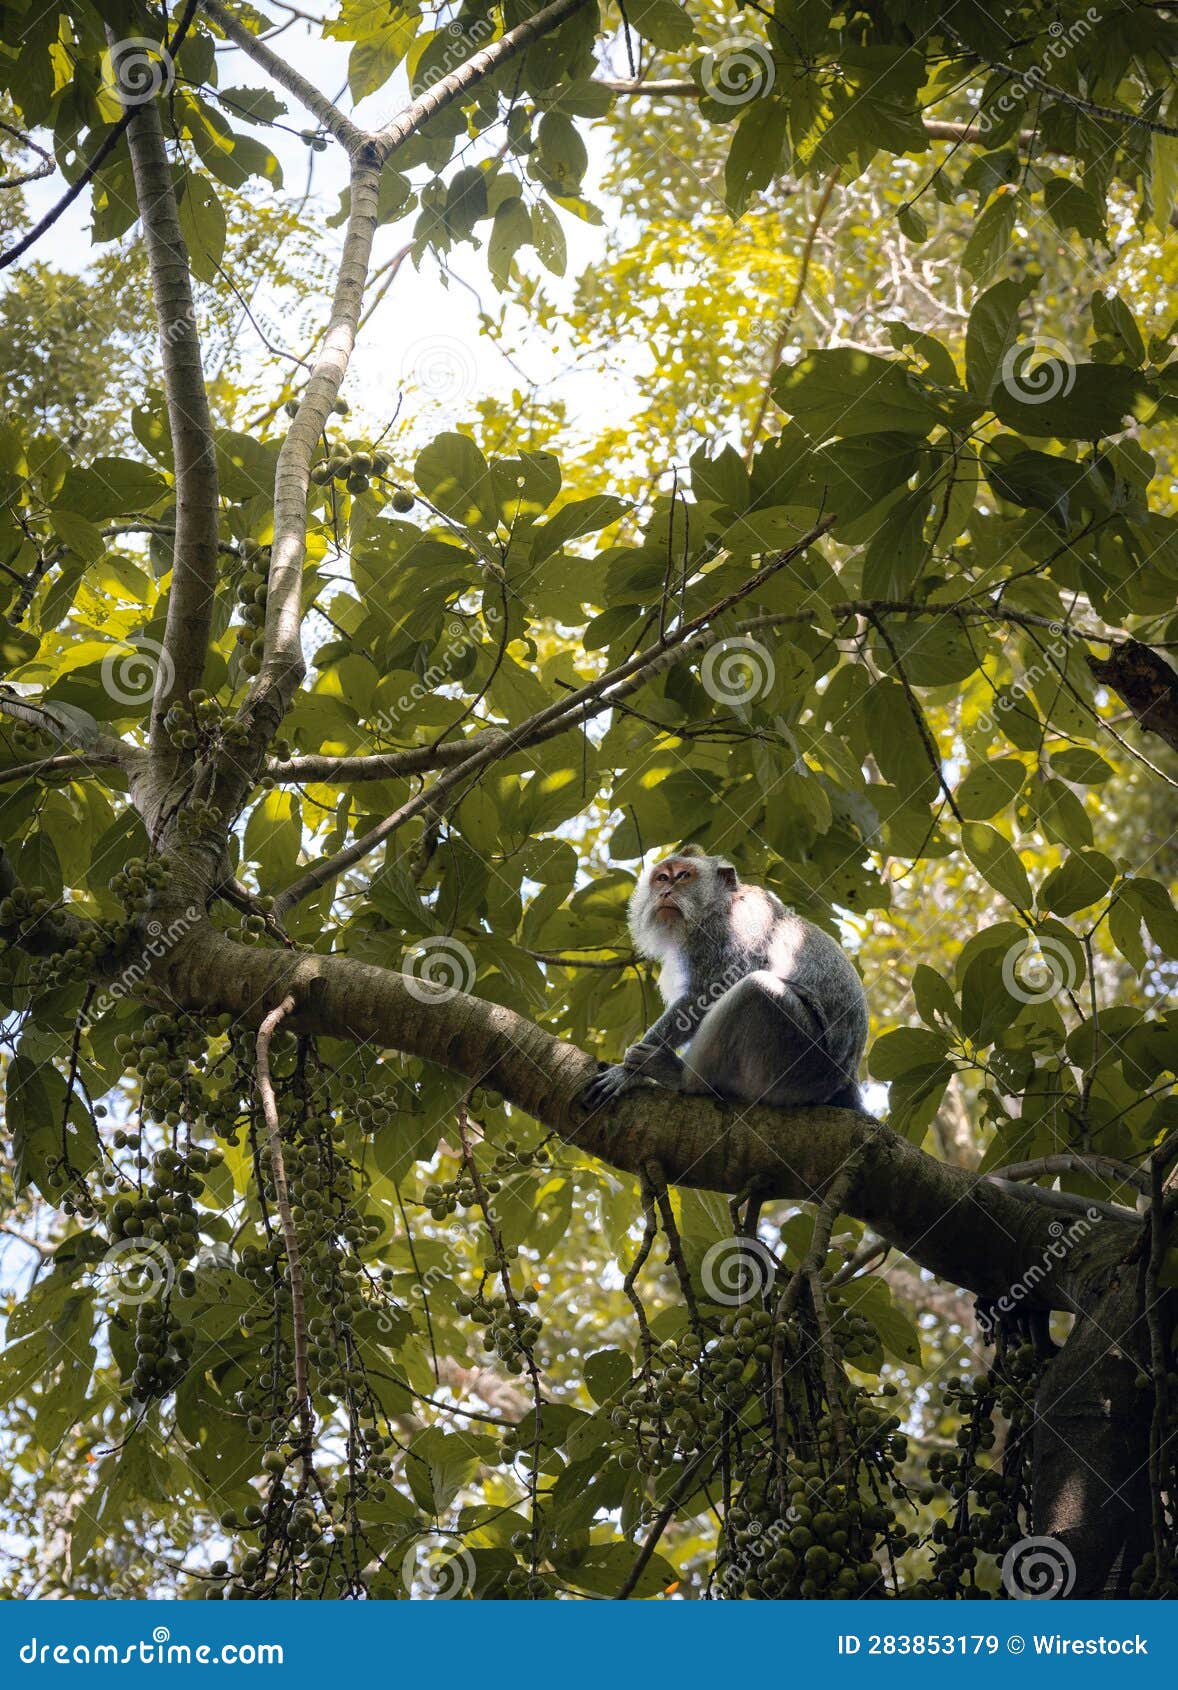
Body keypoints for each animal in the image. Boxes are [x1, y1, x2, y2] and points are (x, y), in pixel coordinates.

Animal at [582, 845, 868, 1113]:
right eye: (662, 878)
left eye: (683, 876)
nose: (665, 892)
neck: (717, 903)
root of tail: (846, 1078)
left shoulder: (723, 930)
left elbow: (708, 993)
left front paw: (625, 1074)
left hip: (801, 1063)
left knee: (756, 989)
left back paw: (683, 1078)